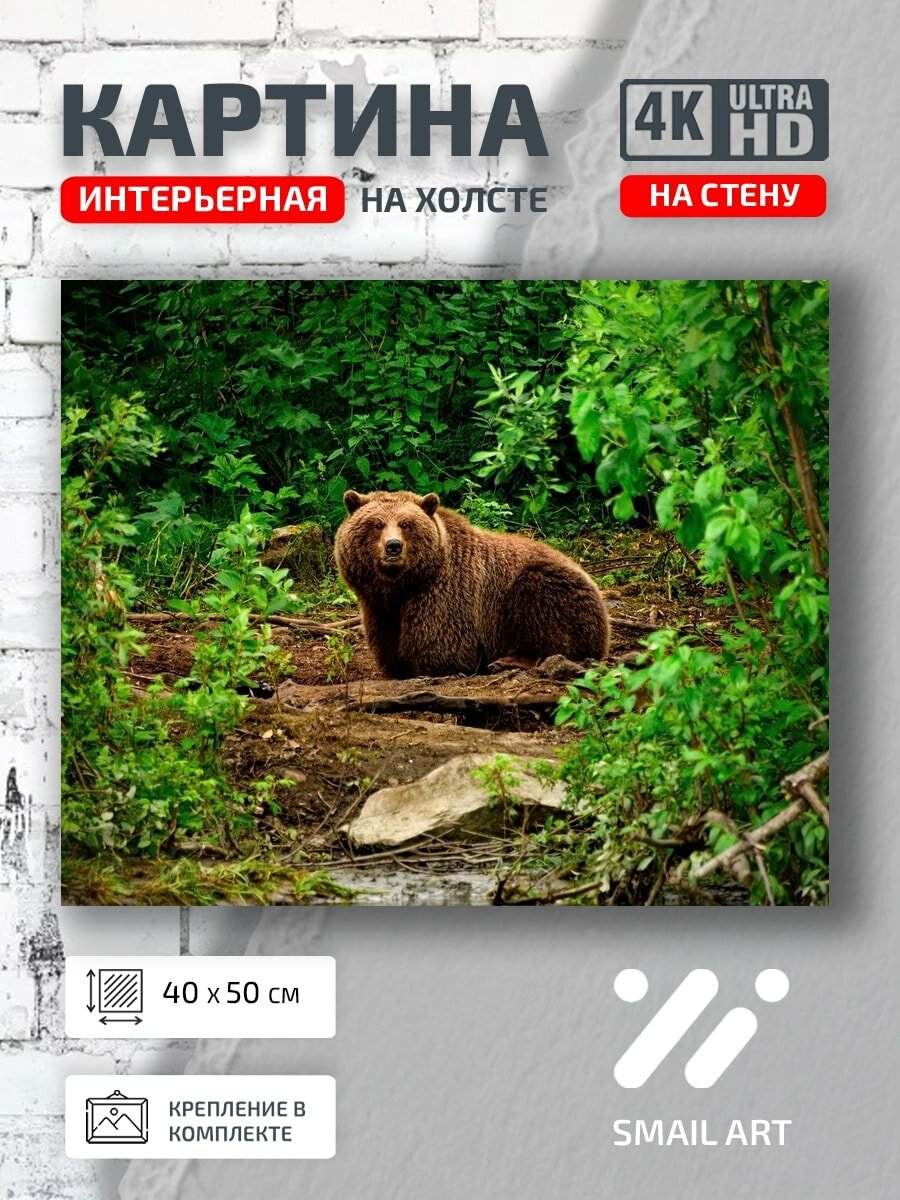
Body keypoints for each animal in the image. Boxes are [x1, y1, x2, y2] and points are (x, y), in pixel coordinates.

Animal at [334, 489, 610, 679]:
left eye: (406, 523)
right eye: (377, 523)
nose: (393, 546)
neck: (403, 586)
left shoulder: (445, 593)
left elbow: (441, 645)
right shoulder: (378, 606)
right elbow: (387, 642)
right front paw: (395, 667)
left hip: (546, 587)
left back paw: (508, 661)